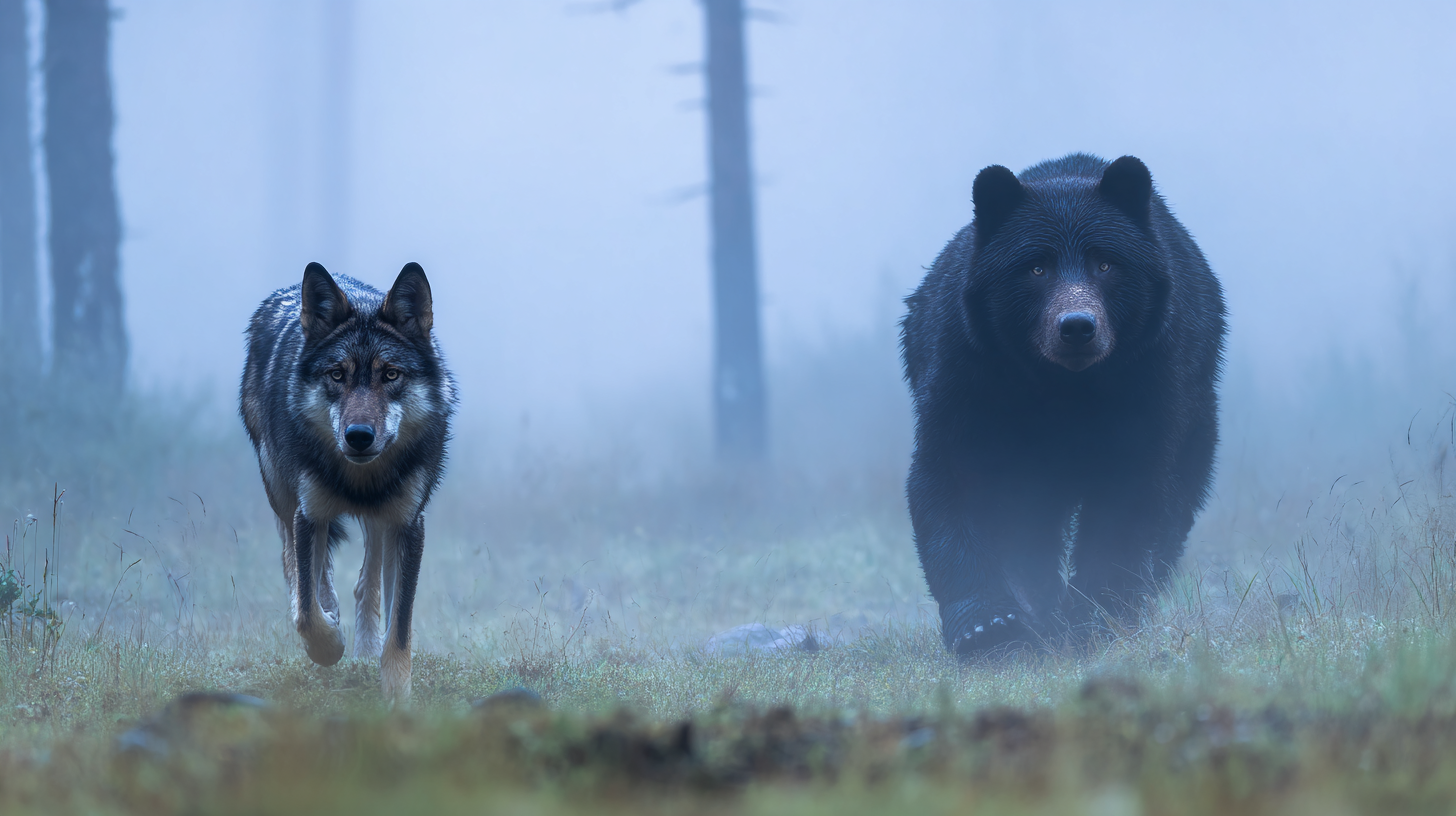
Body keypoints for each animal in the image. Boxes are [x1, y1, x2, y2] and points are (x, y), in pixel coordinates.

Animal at [240, 262, 456, 705]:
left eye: (390, 374)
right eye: (337, 374)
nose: (358, 436)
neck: (359, 480)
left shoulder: (409, 524)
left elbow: (400, 630)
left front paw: (396, 698)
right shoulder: (309, 513)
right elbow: (307, 610)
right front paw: (328, 645)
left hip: (381, 518)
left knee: (366, 581)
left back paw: (365, 646)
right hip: (284, 496)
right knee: (297, 567)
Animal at [900, 153, 1226, 654]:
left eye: (1106, 263)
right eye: (1037, 267)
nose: (1076, 326)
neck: (1064, 386)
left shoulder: (1150, 380)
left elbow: (1131, 494)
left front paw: (1095, 615)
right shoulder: (971, 375)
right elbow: (953, 477)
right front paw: (988, 624)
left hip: (1198, 410)